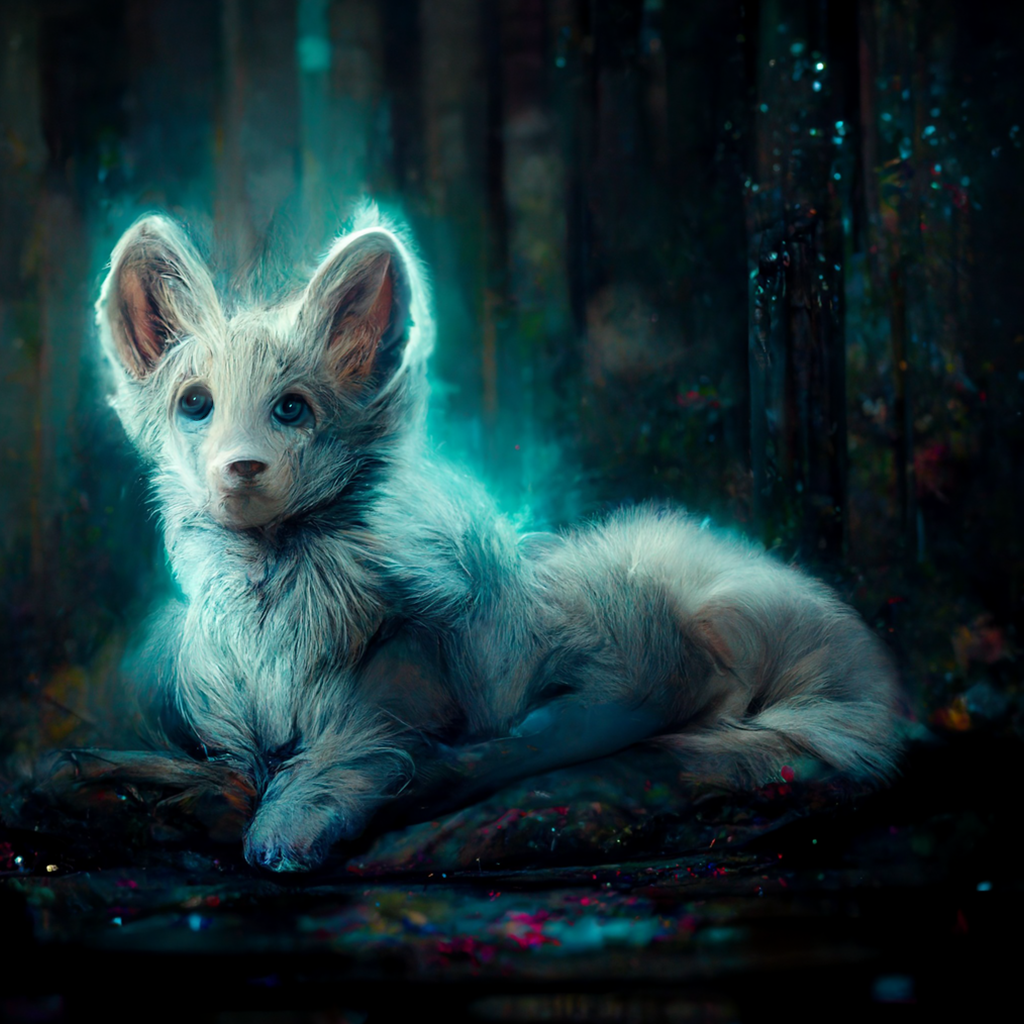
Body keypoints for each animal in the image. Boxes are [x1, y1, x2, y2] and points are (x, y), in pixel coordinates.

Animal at [92, 206, 903, 872]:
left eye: (291, 409)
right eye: (196, 404)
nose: (241, 467)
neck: (272, 624)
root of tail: (869, 669)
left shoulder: (397, 696)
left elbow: (346, 754)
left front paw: (289, 825)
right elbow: (227, 756)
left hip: (660, 607)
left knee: (646, 705)